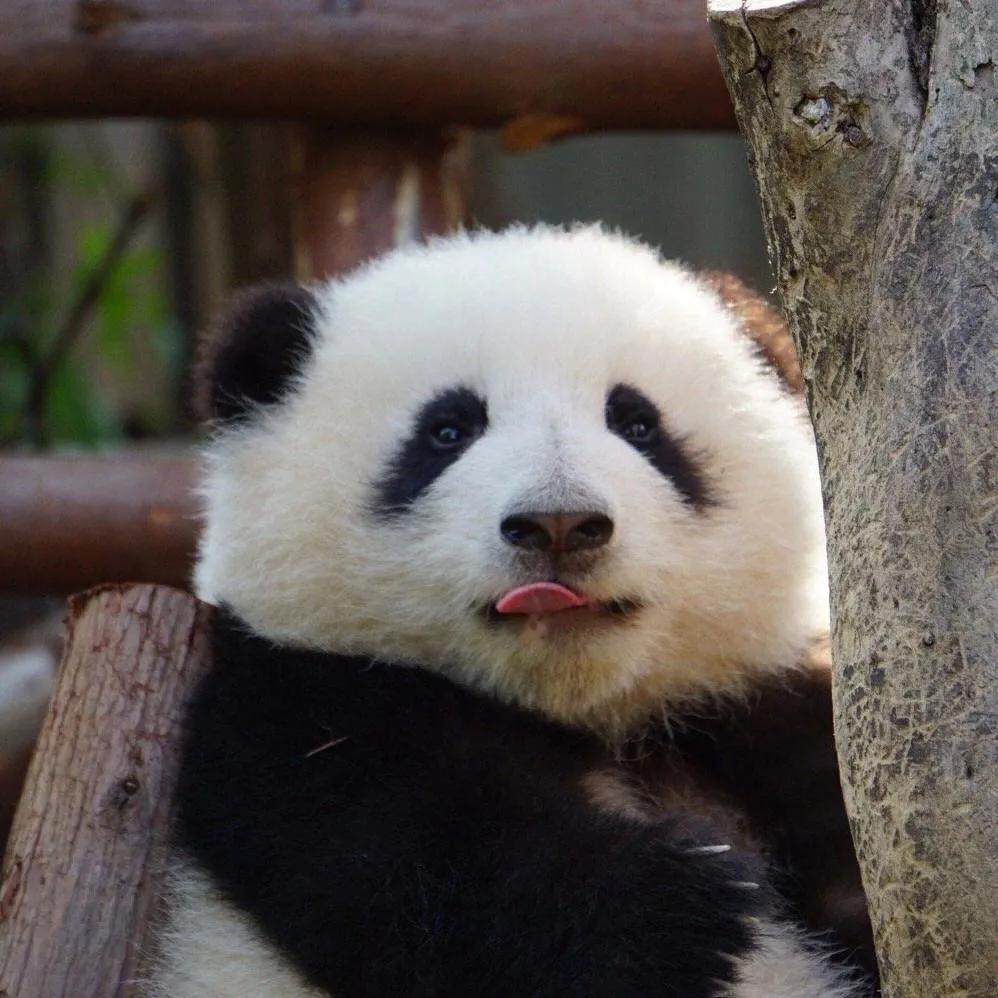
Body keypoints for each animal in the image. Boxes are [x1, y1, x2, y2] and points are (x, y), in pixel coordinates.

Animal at [147, 227, 875, 997]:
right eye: (448, 431)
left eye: (637, 423)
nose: (559, 524)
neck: (577, 711)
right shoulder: (298, 705)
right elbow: (417, 866)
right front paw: (673, 907)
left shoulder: (752, 710)